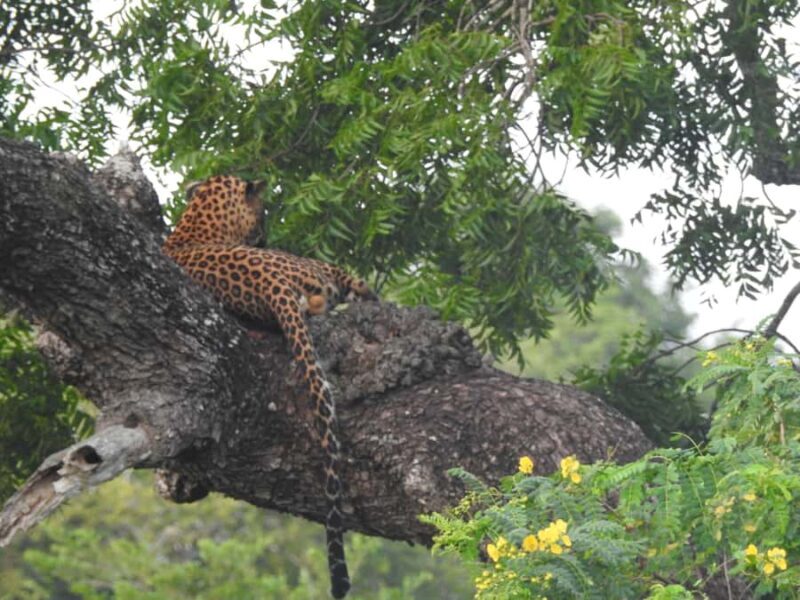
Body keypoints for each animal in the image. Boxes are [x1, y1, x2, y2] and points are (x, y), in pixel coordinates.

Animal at [162, 174, 377, 599]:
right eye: (264, 212)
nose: (266, 236)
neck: (196, 225)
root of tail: (270, 284)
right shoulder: (338, 274)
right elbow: (366, 290)